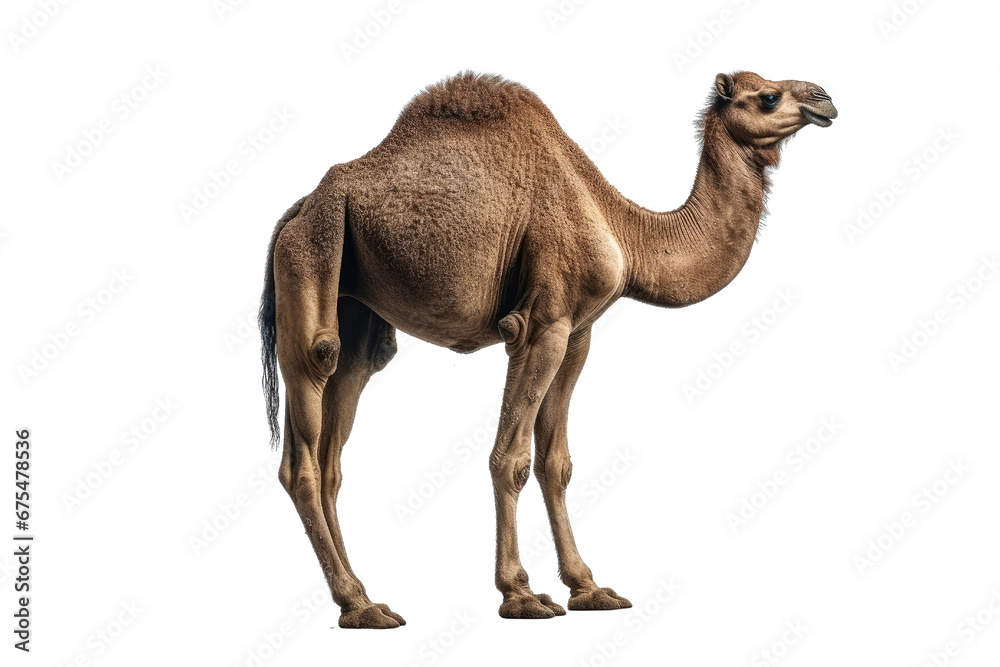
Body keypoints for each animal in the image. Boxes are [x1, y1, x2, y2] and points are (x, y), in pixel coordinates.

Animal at [258, 71, 837, 628]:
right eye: (767, 96)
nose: (825, 99)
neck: (624, 229)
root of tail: (298, 209)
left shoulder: (577, 333)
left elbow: (555, 462)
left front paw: (589, 588)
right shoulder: (541, 325)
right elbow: (510, 458)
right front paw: (520, 593)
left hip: (354, 303)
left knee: (339, 434)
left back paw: (364, 603)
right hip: (311, 255)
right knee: (309, 421)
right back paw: (356, 602)